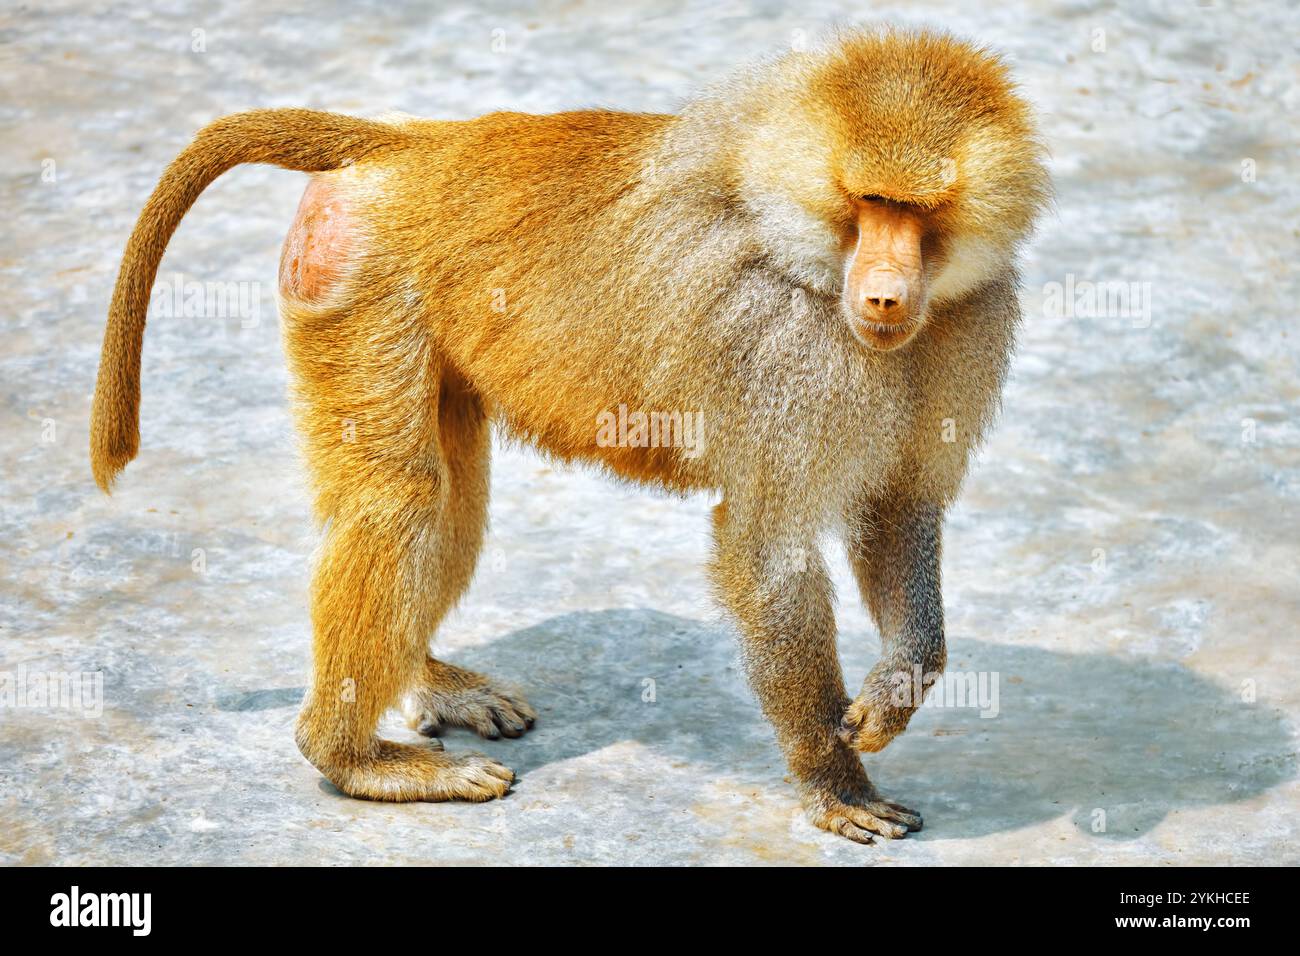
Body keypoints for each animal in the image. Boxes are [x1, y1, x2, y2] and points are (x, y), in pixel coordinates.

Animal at [90, 28, 1050, 843]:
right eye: (870, 202)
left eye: (919, 212)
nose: (885, 297)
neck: (802, 246)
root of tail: (409, 146)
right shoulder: (782, 353)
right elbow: (767, 555)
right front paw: (835, 781)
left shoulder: (963, 323)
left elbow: (897, 507)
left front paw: (896, 690)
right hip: (358, 288)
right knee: (400, 502)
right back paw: (353, 758)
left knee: (450, 509)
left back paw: (428, 684)